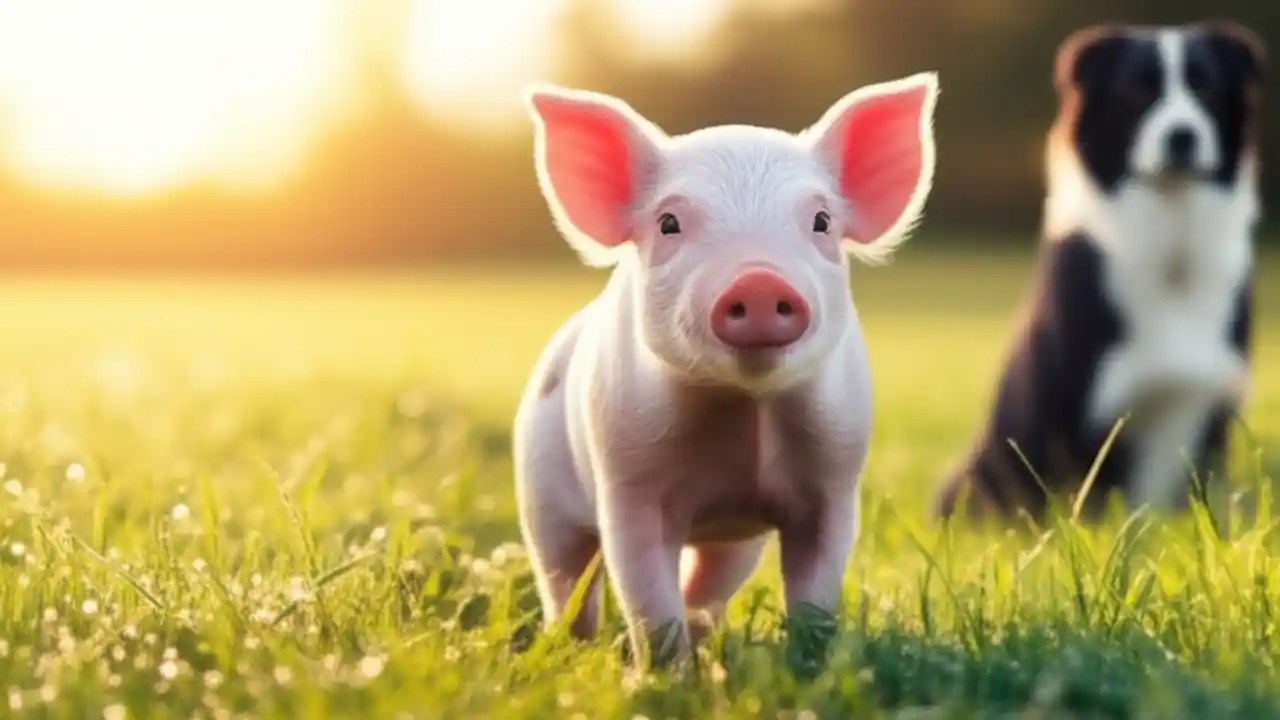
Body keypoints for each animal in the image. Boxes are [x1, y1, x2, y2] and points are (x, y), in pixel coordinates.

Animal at [514, 74, 939, 664]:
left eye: (822, 221)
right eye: (668, 222)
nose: (758, 281)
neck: (747, 409)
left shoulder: (834, 479)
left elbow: (816, 591)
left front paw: (807, 663)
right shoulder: (628, 481)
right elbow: (647, 596)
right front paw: (667, 675)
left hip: (736, 543)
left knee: (706, 583)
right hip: (540, 493)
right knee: (566, 579)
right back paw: (568, 650)